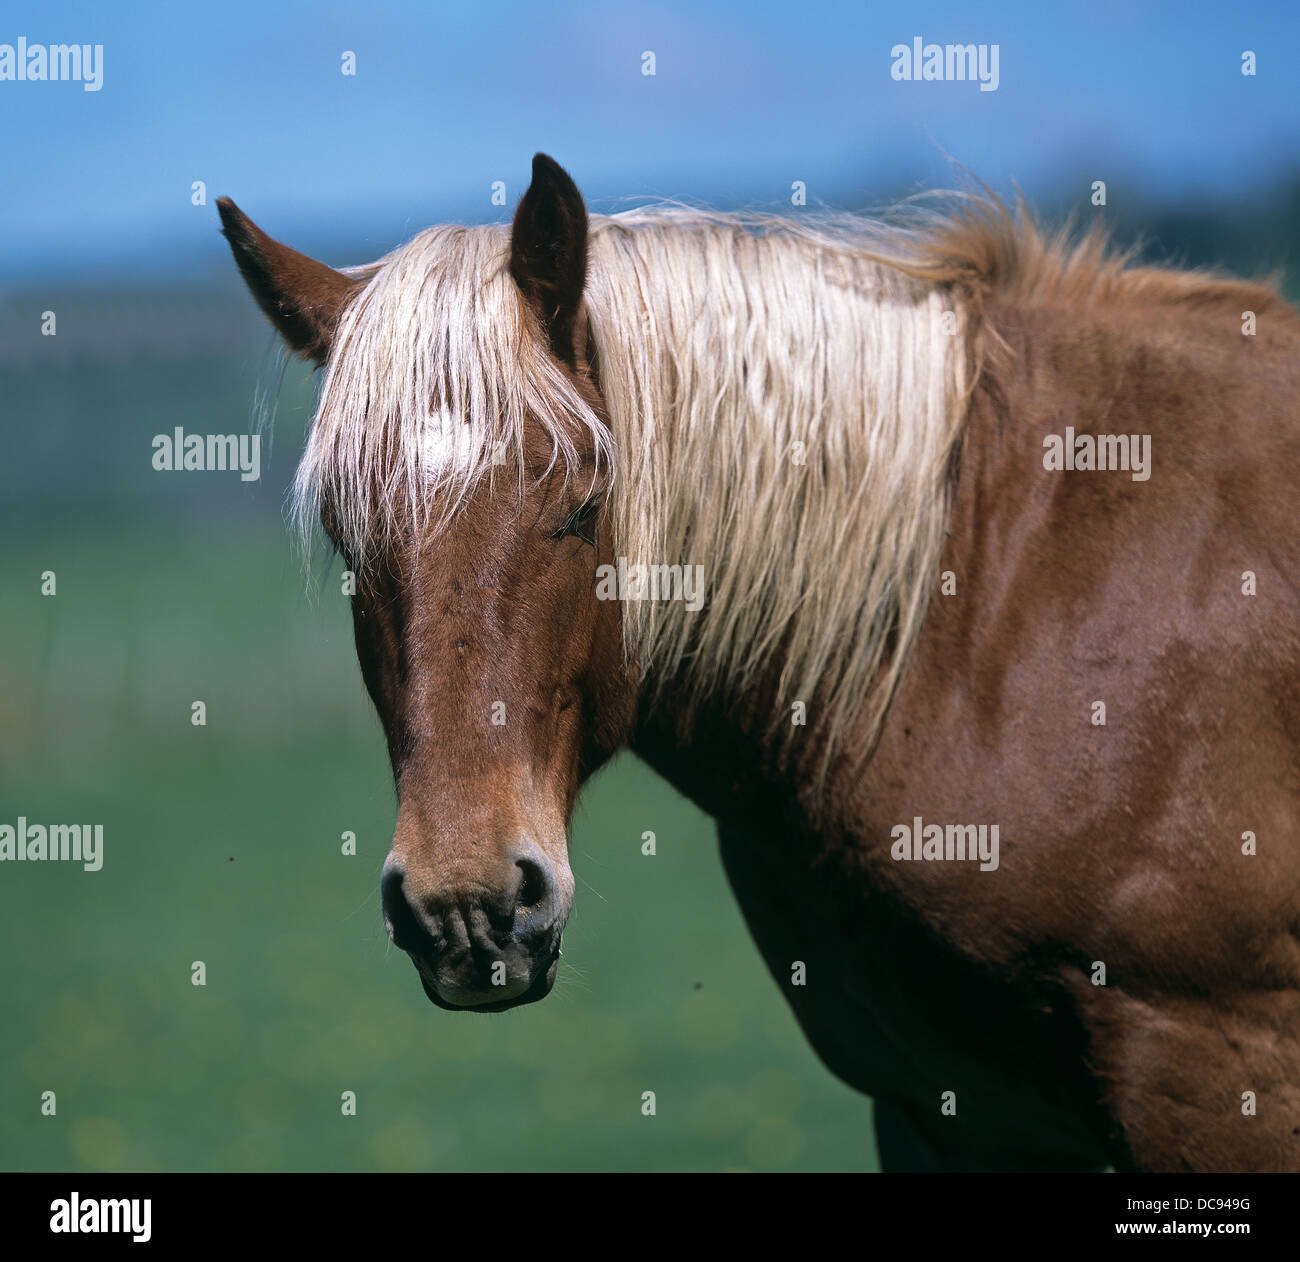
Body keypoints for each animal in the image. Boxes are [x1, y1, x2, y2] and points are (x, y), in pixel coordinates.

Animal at [219, 153, 1300, 1172]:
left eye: (581, 504)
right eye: (348, 538)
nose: (466, 908)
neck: (984, 599)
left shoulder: (1216, 1079)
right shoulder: (946, 1113)